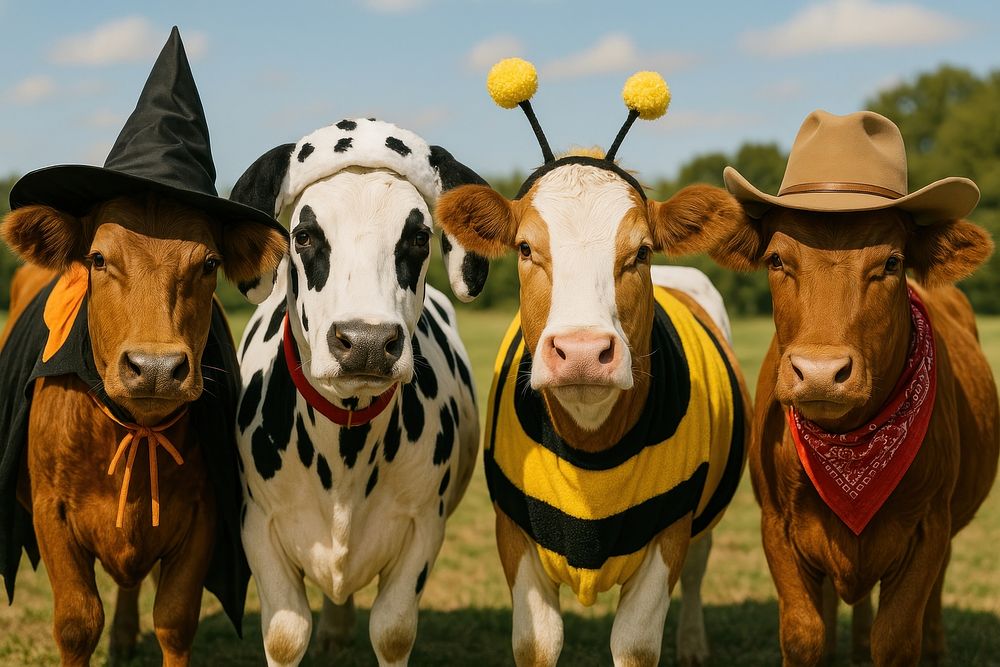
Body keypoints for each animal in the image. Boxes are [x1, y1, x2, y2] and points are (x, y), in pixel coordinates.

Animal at [229, 119, 485, 667]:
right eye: (304, 235)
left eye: (418, 237)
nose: (366, 342)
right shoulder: (258, 526)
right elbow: (285, 633)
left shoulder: (424, 528)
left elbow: (392, 631)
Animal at [683, 109, 1000, 665]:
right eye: (776, 260)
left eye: (892, 262)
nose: (819, 371)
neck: (851, 450)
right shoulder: (778, 529)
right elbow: (804, 633)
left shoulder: (928, 530)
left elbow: (897, 637)